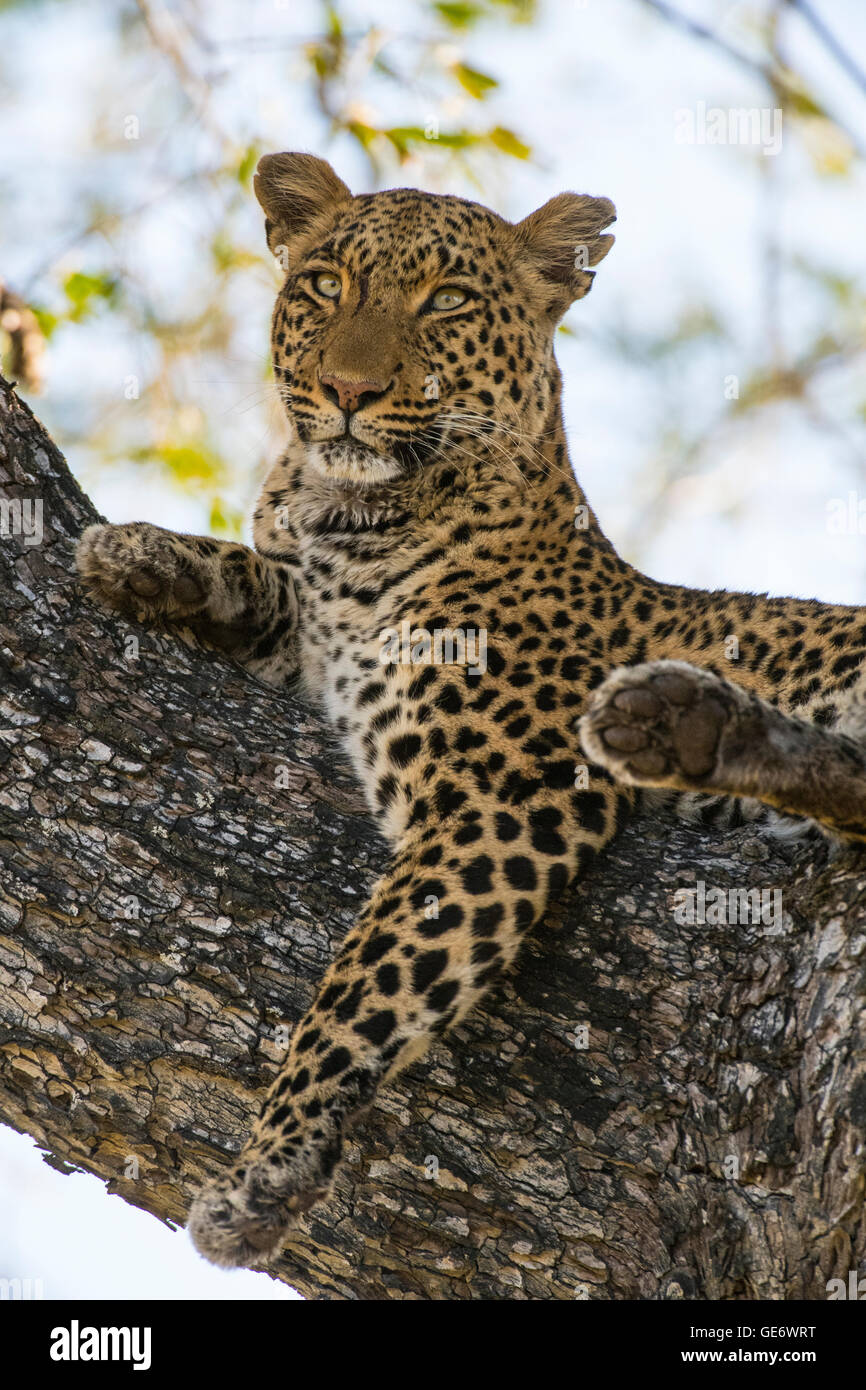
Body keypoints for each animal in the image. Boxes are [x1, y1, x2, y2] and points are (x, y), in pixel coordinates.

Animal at [75, 151, 866, 1269]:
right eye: (325, 285)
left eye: (446, 301)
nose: (348, 391)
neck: (351, 520)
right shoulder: (321, 642)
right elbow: (263, 586)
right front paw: (137, 551)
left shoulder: (502, 796)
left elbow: (366, 980)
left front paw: (265, 1169)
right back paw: (687, 722)